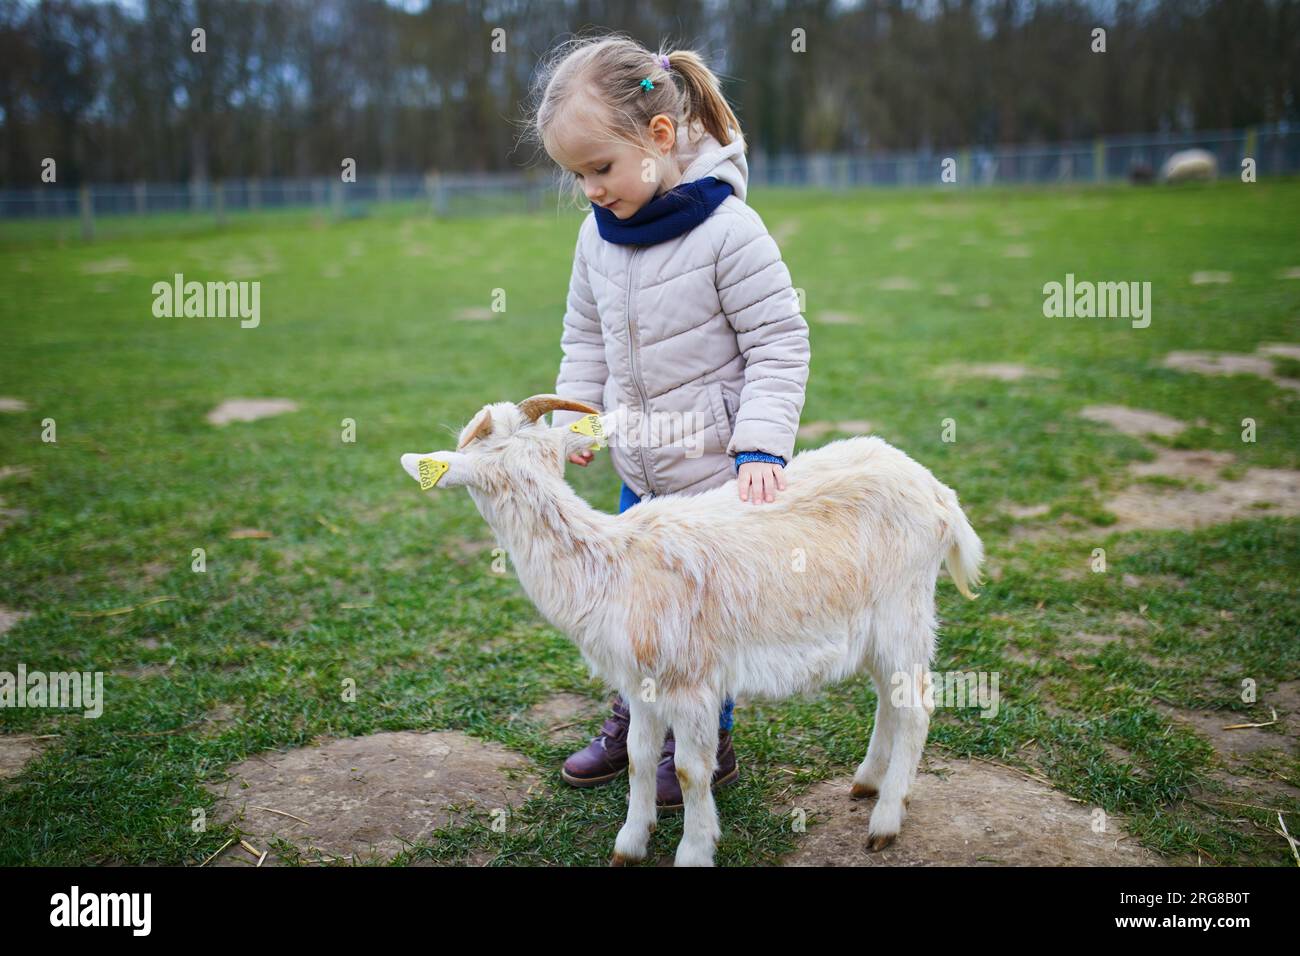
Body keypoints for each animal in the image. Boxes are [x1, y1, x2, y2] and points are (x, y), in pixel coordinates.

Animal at [400, 394, 984, 866]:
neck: (612, 565)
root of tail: (939, 493)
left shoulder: (691, 679)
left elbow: (688, 770)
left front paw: (695, 849)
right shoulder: (641, 683)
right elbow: (637, 757)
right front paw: (630, 843)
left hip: (904, 607)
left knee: (917, 703)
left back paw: (885, 820)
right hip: (872, 625)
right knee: (891, 697)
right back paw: (866, 782)